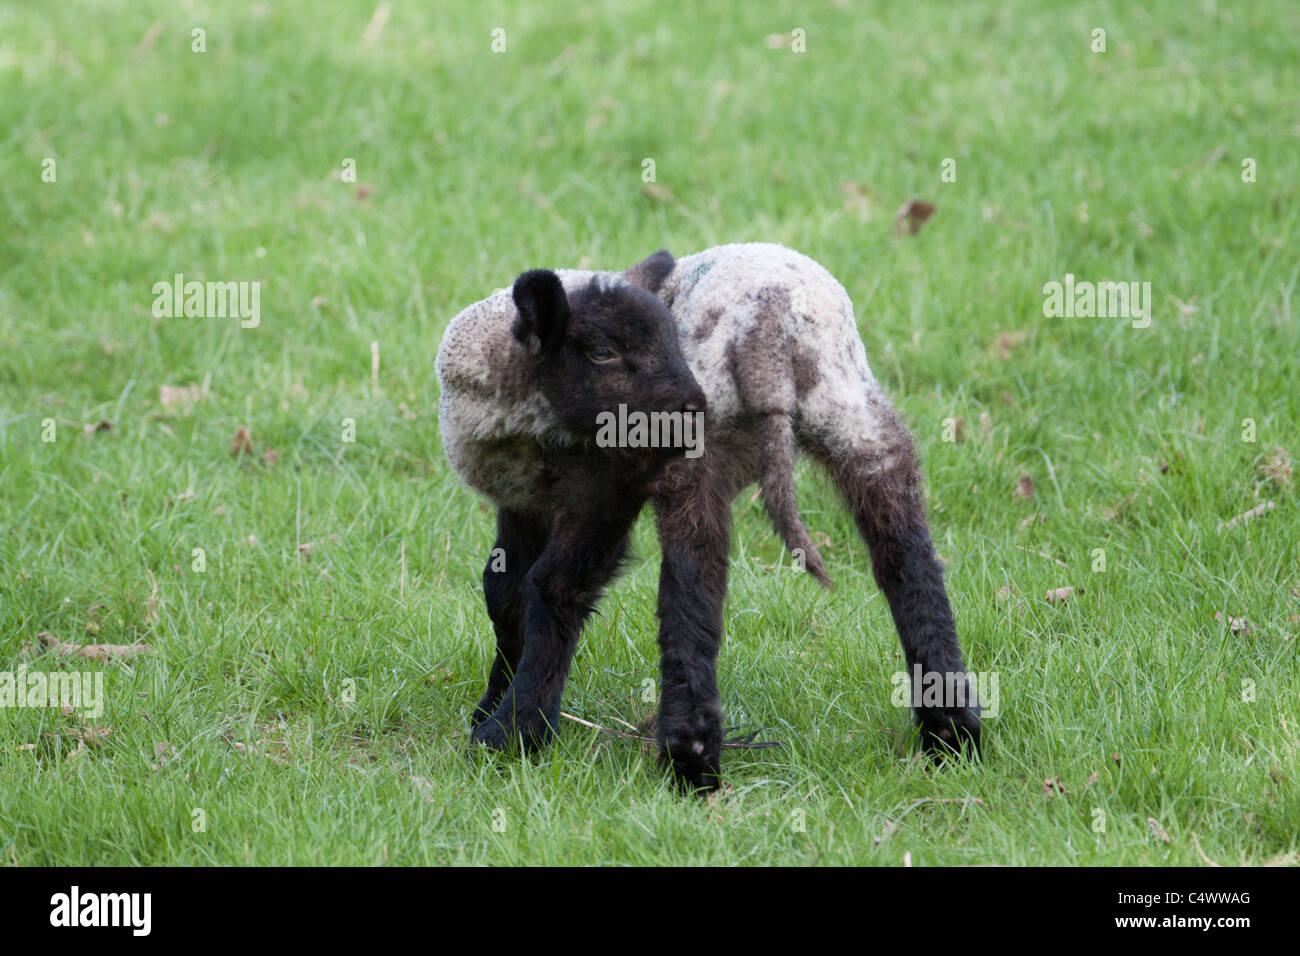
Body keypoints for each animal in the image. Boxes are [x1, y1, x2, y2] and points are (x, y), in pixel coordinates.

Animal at [436, 243, 980, 791]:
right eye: (601, 352)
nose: (690, 404)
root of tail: (770, 330)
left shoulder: (602, 489)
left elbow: (550, 589)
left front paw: (510, 731)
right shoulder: (524, 500)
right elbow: (502, 592)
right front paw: (491, 705)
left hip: (692, 461)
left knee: (691, 590)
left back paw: (689, 764)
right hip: (854, 416)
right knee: (907, 561)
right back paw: (951, 735)